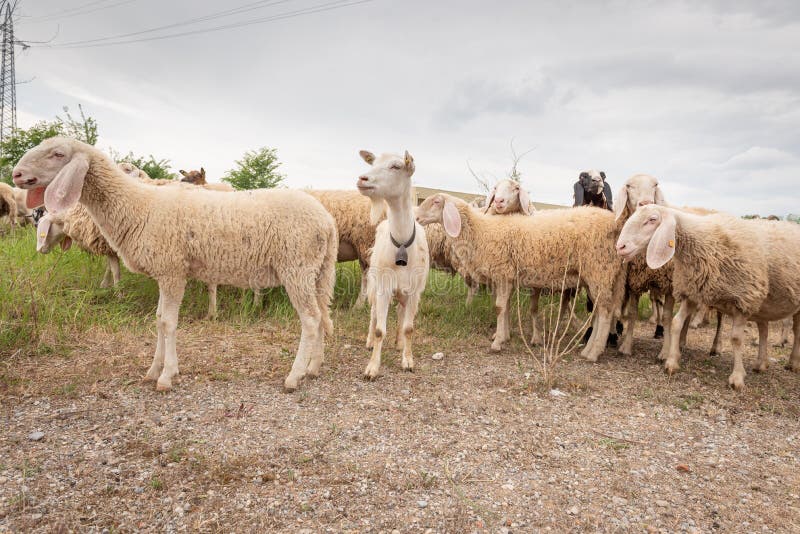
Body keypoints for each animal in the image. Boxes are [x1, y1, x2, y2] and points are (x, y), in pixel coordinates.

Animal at [13, 137, 338, 392]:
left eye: (58, 154)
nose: (16, 174)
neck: (138, 205)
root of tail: (326, 220)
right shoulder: (163, 273)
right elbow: (159, 320)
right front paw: (153, 370)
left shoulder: (172, 272)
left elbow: (168, 322)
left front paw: (166, 377)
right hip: (318, 271)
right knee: (322, 315)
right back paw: (314, 367)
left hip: (296, 268)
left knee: (310, 320)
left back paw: (294, 376)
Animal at [357, 149, 429, 379]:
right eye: (373, 164)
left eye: (396, 166)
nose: (363, 179)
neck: (402, 242)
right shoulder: (383, 287)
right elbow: (380, 329)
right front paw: (372, 367)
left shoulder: (414, 290)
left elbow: (409, 328)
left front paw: (407, 360)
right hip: (374, 282)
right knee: (373, 313)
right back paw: (370, 341)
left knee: (400, 311)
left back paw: (398, 343)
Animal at [416, 194, 627, 359]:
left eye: (436, 201)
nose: (416, 217)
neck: (481, 231)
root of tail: (616, 224)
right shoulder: (507, 276)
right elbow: (505, 307)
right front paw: (504, 335)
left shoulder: (502, 273)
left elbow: (499, 307)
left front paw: (498, 342)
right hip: (597, 276)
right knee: (600, 312)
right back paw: (588, 349)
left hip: (599, 270)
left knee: (605, 313)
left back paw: (593, 353)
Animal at [615, 205, 800, 389]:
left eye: (652, 219)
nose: (620, 247)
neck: (702, 243)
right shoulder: (692, 293)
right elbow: (676, 323)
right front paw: (672, 362)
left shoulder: (743, 300)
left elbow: (736, 338)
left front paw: (737, 378)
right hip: (763, 303)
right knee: (764, 329)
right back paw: (761, 364)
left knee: (795, 331)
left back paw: (793, 363)